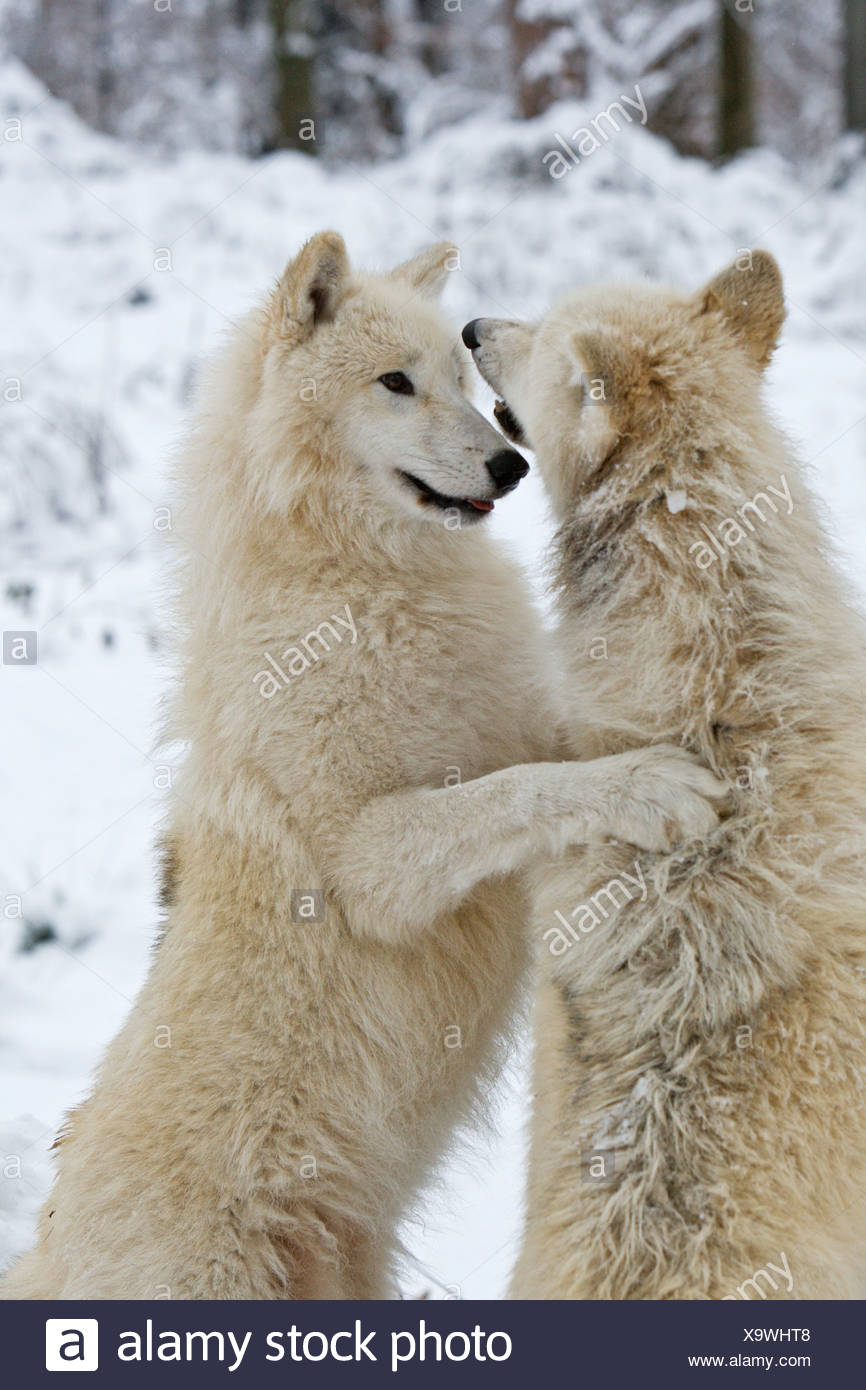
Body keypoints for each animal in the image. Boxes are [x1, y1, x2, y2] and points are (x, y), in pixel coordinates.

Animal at [0, 234, 723, 1300]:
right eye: (395, 383)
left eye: (461, 380)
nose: (510, 464)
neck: (365, 585)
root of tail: (44, 1258)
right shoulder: (373, 865)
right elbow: (517, 791)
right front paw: (647, 788)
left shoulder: (524, 720)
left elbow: (535, 764)